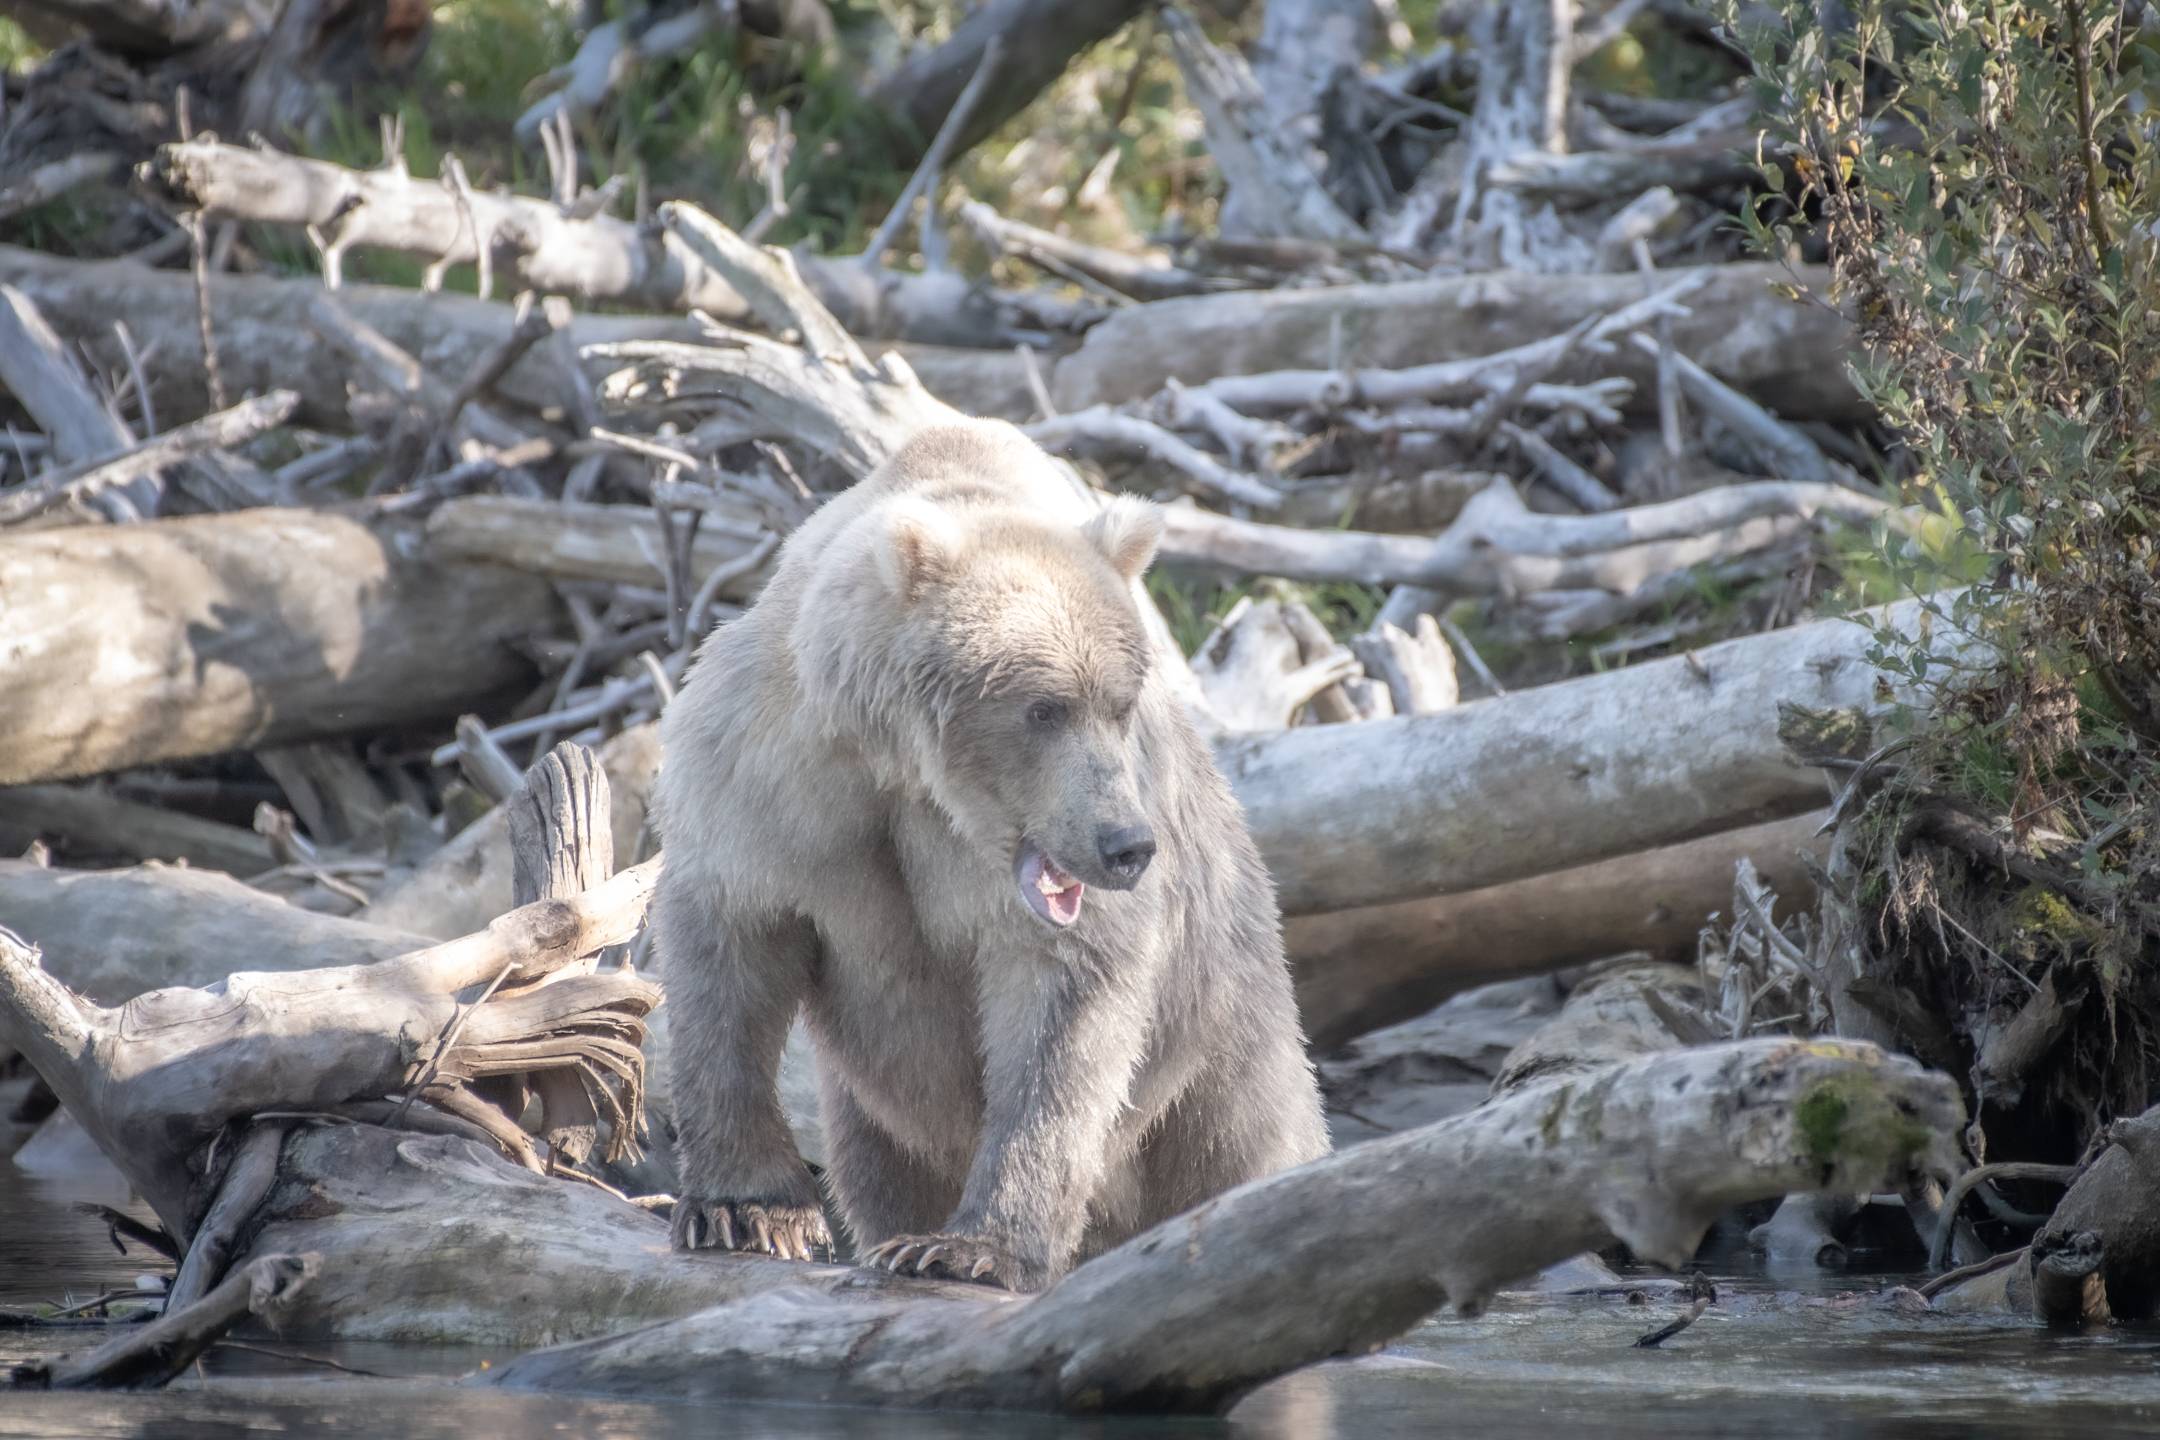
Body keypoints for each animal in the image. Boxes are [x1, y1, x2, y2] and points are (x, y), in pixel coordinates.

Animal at [651, 418, 1330, 1291]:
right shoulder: (764, 781)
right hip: (874, 1115)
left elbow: (1061, 1024)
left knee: (1246, 1136)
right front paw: (744, 1210)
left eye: (1121, 703)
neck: (906, 770)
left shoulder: (1045, 904)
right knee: (877, 1163)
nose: (1126, 846)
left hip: (1220, 1019)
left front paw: (970, 1248)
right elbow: (727, 957)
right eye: (1044, 707)